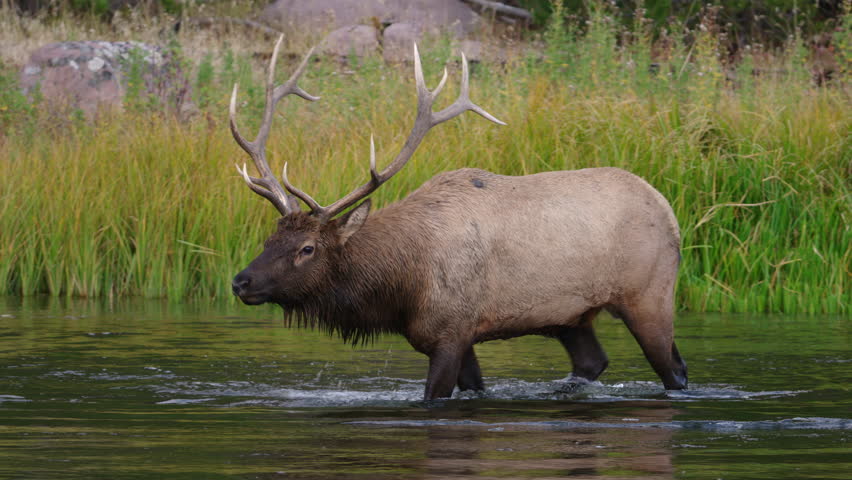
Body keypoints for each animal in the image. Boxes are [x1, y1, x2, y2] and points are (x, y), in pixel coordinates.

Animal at [228, 36, 688, 401]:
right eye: (269, 239)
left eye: (307, 248)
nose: (240, 281)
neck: (402, 285)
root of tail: (667, 207)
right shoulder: (455, 336)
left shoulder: (450, 331)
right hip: (569, 315)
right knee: (593, 361)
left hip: (650, 295)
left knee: (674, 370)